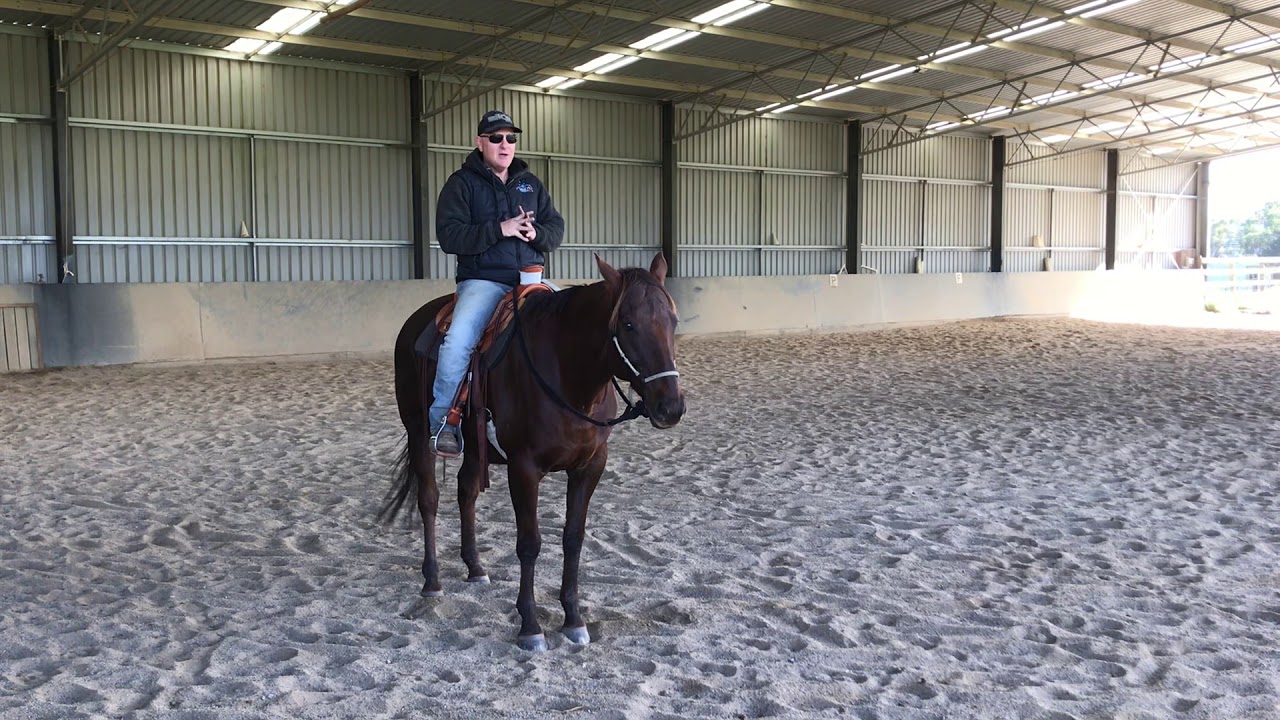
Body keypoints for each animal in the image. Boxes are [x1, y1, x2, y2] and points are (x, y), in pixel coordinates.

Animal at [377, 252, 685, 651]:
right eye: (629, 324)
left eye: (672, 321)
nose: (671, 407)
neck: (568, 374)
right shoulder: (523, 468)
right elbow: (529, 543)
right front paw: (531, 626)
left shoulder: (590, 466)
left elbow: (573, 538)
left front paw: (574, 620)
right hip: (418, 431)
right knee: (428, 499)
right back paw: (432, 580)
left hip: (474, 447)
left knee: (466, 491)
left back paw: (475, 567)